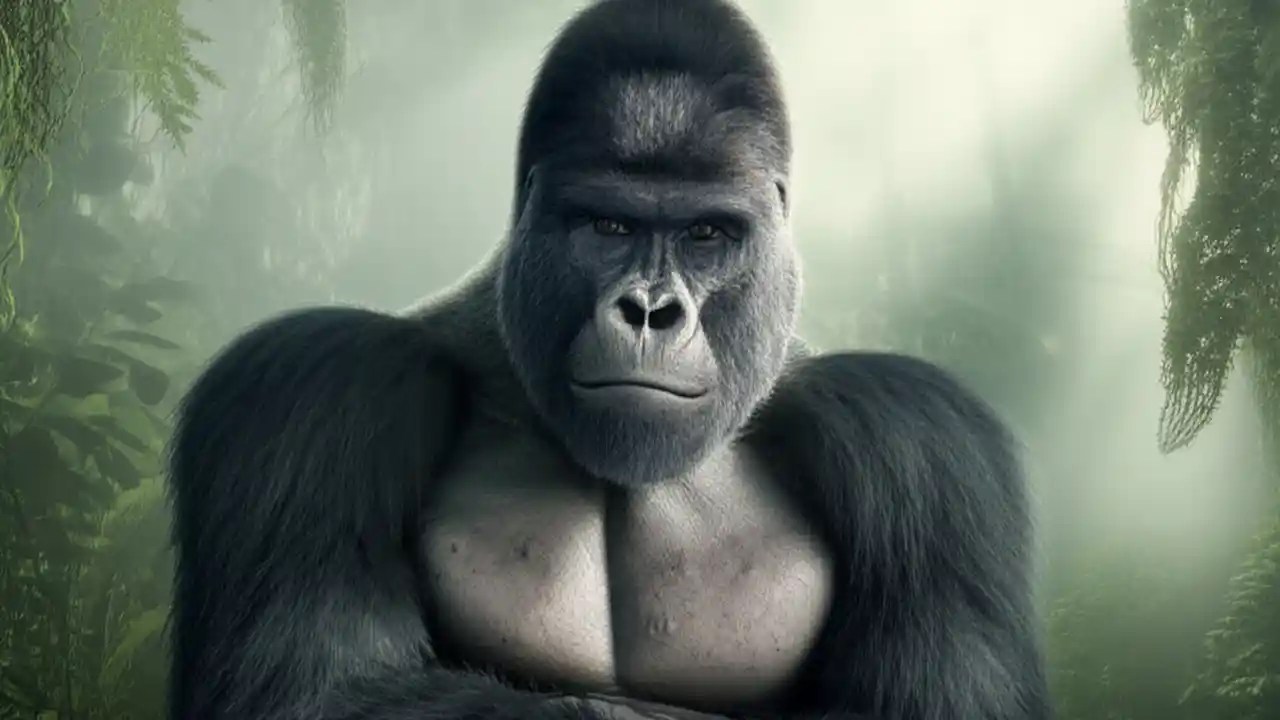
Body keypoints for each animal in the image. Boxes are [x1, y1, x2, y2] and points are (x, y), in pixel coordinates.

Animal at [167, 1, 1050, 718]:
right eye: (609, 227)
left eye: (706, 234)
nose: (650, 311)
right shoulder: (318, 391)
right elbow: (312, 692)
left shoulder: (916, 438)